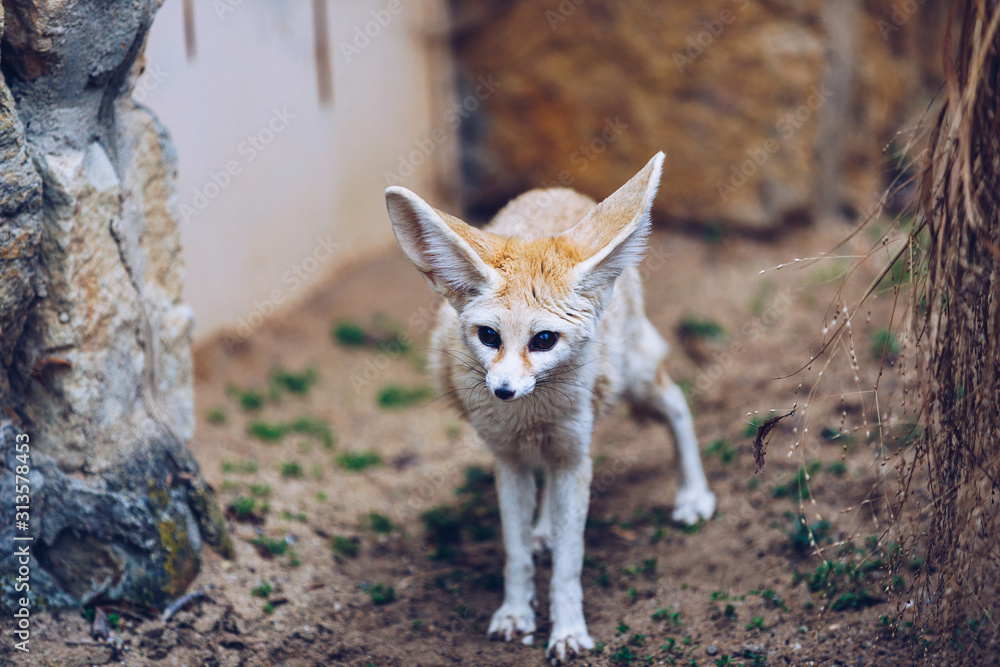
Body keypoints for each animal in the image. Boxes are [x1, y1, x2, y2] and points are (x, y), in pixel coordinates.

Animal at [384, 152, 715, 663]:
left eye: (543, 340)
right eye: (489, 336)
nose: (503, 390)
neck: (531, 414)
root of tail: (554, 191)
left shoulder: (575, 457)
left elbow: (568, 561)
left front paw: (568, 631)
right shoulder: (508, 458)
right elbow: (516, 552)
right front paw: (515, 613)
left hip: (636, 379)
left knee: (677, 402)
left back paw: (694, 495)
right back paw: (543, 527)